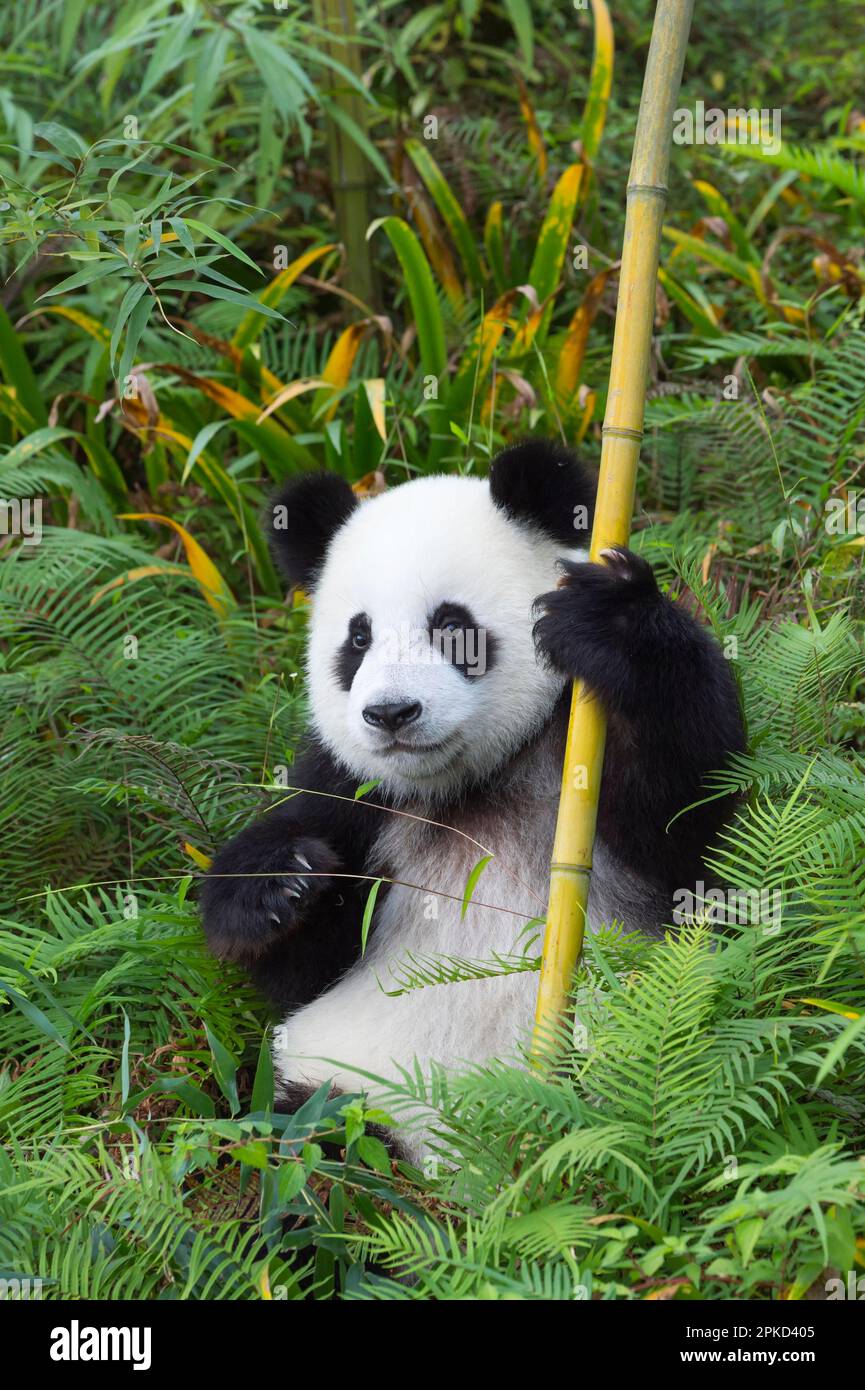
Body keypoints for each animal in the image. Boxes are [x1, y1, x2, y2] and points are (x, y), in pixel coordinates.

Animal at [201, 440, 744, 1159]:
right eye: (357, 638)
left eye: (451, 627)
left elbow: (691, 831)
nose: (391, 714)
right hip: (331, 1083)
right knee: (290, 1137)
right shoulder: (352, 793)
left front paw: (612, 619)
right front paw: (281, 883)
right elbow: (297, 971)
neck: (470, 782)